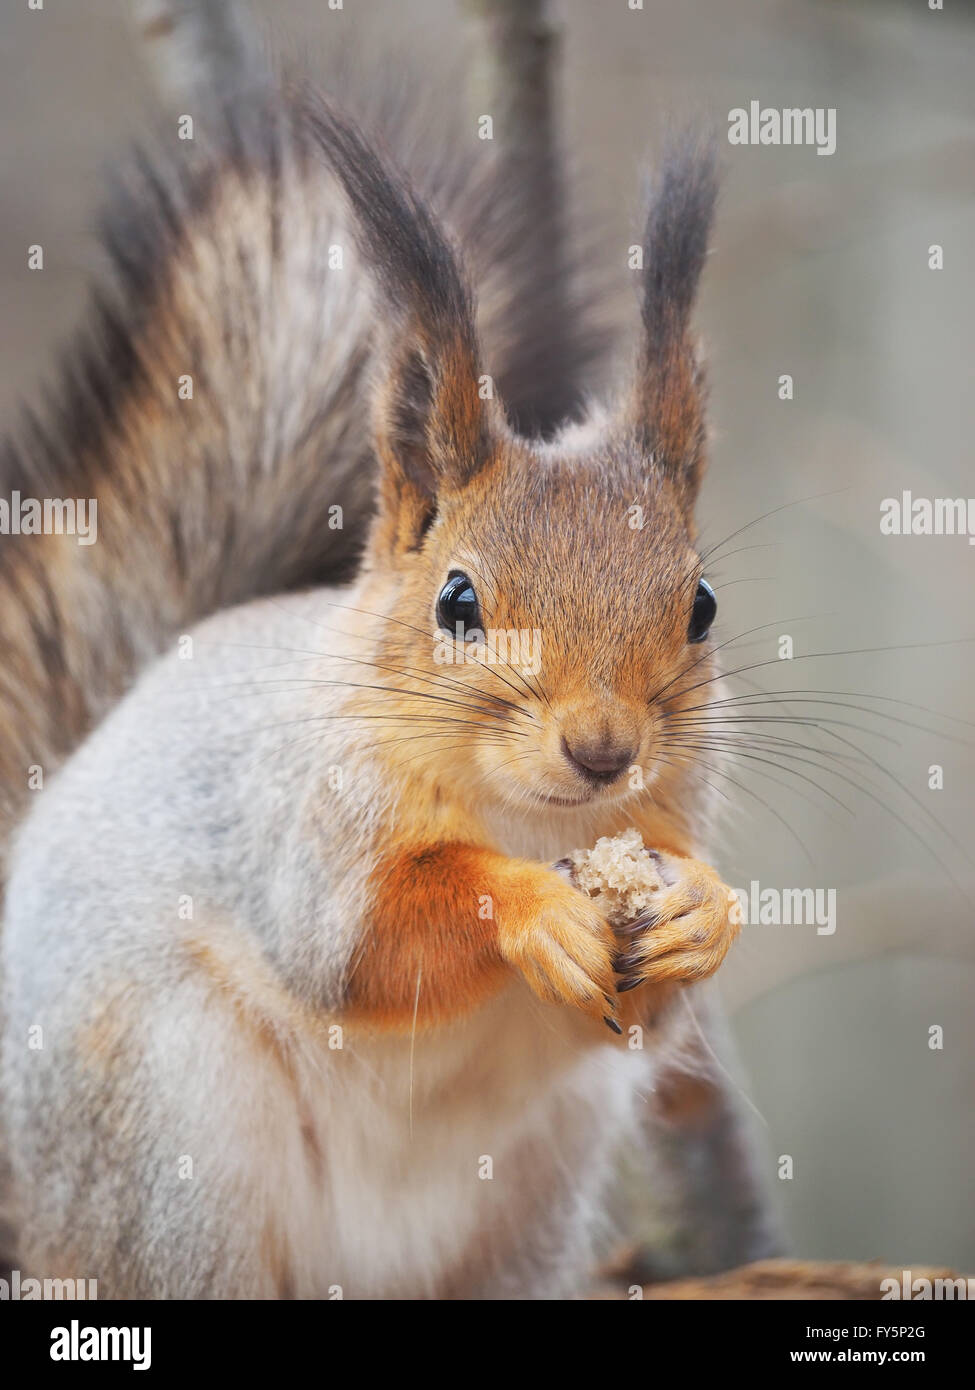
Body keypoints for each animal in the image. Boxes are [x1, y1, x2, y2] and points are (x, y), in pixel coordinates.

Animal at [0, 35, 744, 1297]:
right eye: (457, 601)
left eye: (699, 604)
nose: (604, 750)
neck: (527, 815)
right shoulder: (309, 832)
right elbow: (363, 946)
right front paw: (530, 908)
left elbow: (648, 1009)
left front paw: (703, 909)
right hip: (172, 1134)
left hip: (529, 1195)